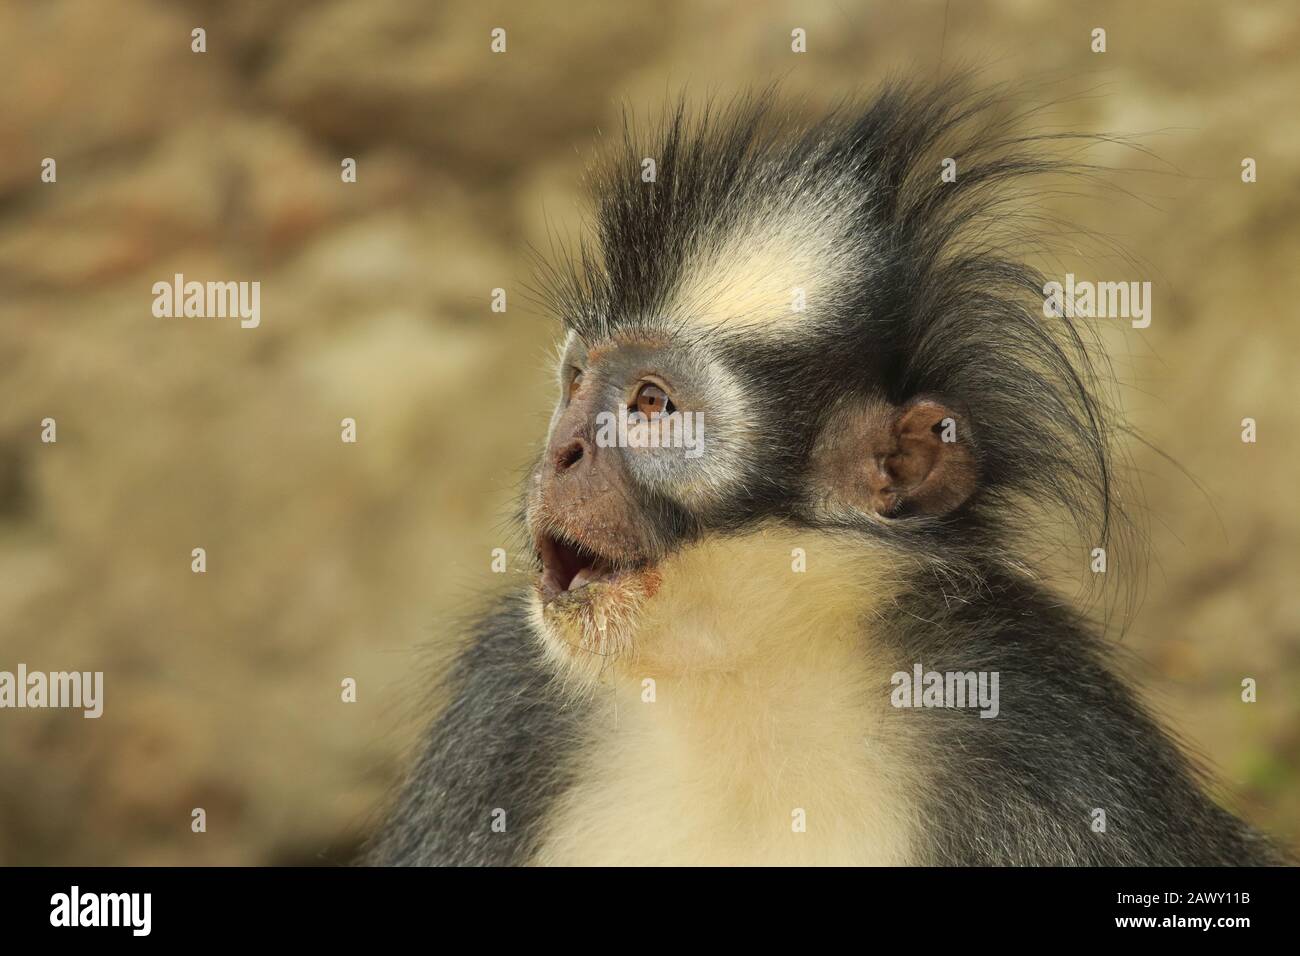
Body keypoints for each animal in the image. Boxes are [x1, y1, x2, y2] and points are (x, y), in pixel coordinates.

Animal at [366, 81, 1287, 866]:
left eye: (653, 404)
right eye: (573, 384)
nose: (559, 451)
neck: (747, 683)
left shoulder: (1047, 744)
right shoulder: (503, 710)